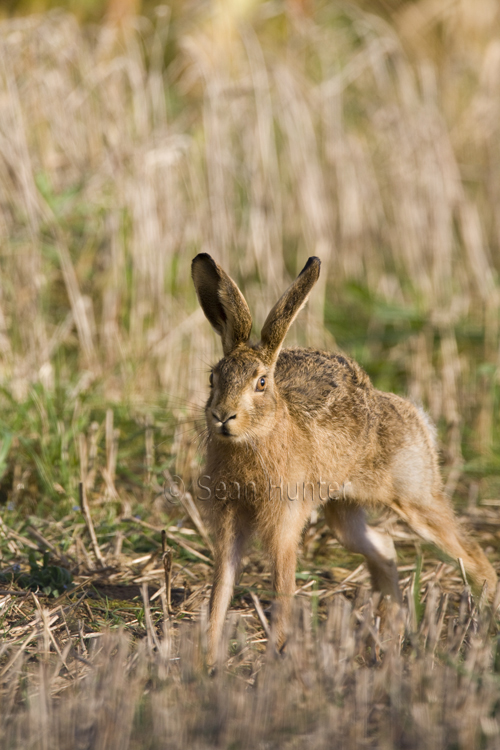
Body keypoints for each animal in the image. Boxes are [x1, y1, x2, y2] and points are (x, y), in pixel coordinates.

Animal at [191, 252, 497, 664]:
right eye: (213, 378)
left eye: (261, 383)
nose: (223, 415)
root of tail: (409, 412)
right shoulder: (228, 520)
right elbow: (220, 587)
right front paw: (206, 660)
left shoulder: (284, 520)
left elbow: (282, 589)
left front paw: (276, 660)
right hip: (343, 512)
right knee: (382, 547)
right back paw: (390, 634)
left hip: (416, 498)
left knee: (472, 555)